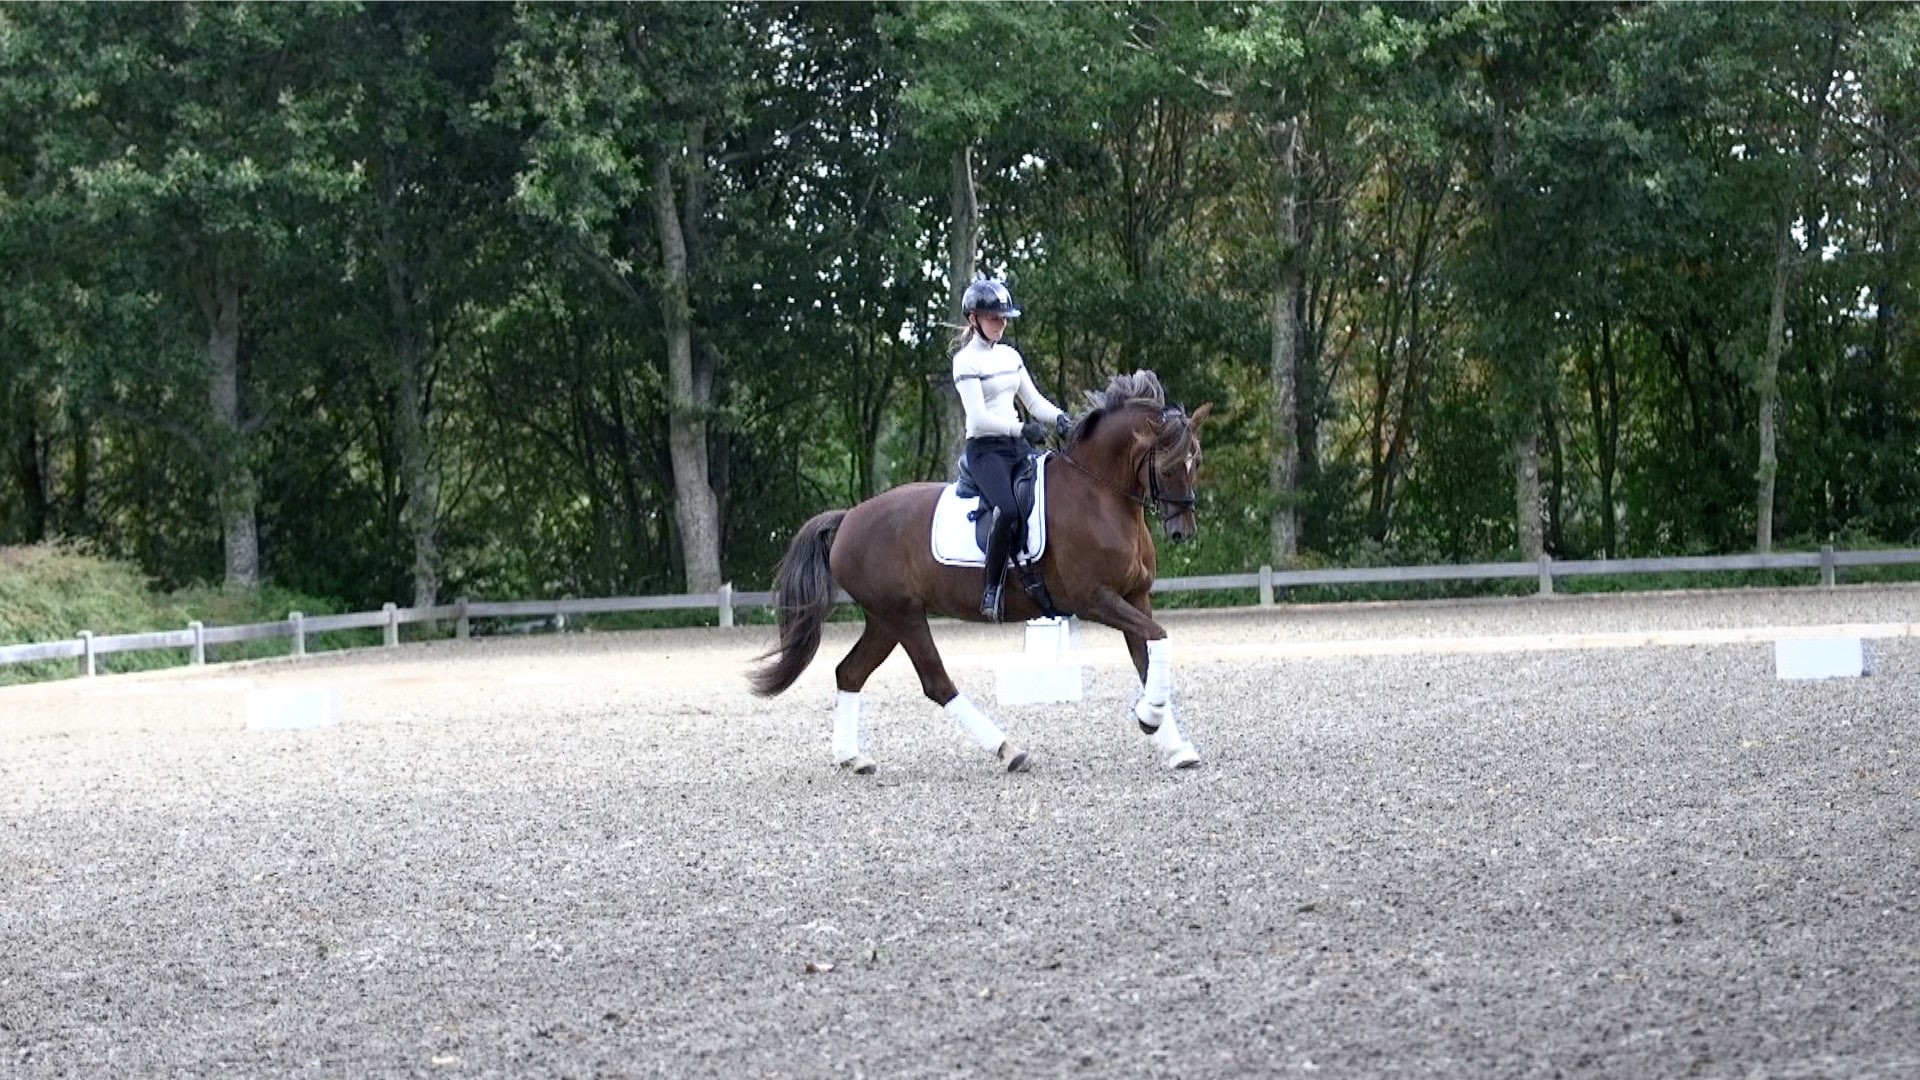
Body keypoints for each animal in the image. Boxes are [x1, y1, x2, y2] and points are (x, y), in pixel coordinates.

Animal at [748, 369, 1213, 774]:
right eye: (1169, 464)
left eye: (1197, 462)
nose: (1183, 532)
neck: (1098, 493)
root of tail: (848, 518)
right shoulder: (1095, 599)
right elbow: (1159, 639)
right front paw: (1149, 716)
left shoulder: (1135, 597)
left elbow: (1149, 656)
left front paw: (1174, 744)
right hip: (903, 615)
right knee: (936, 682)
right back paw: (1008, 750)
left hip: (883, 619)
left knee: (850, 672)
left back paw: (853, 757)